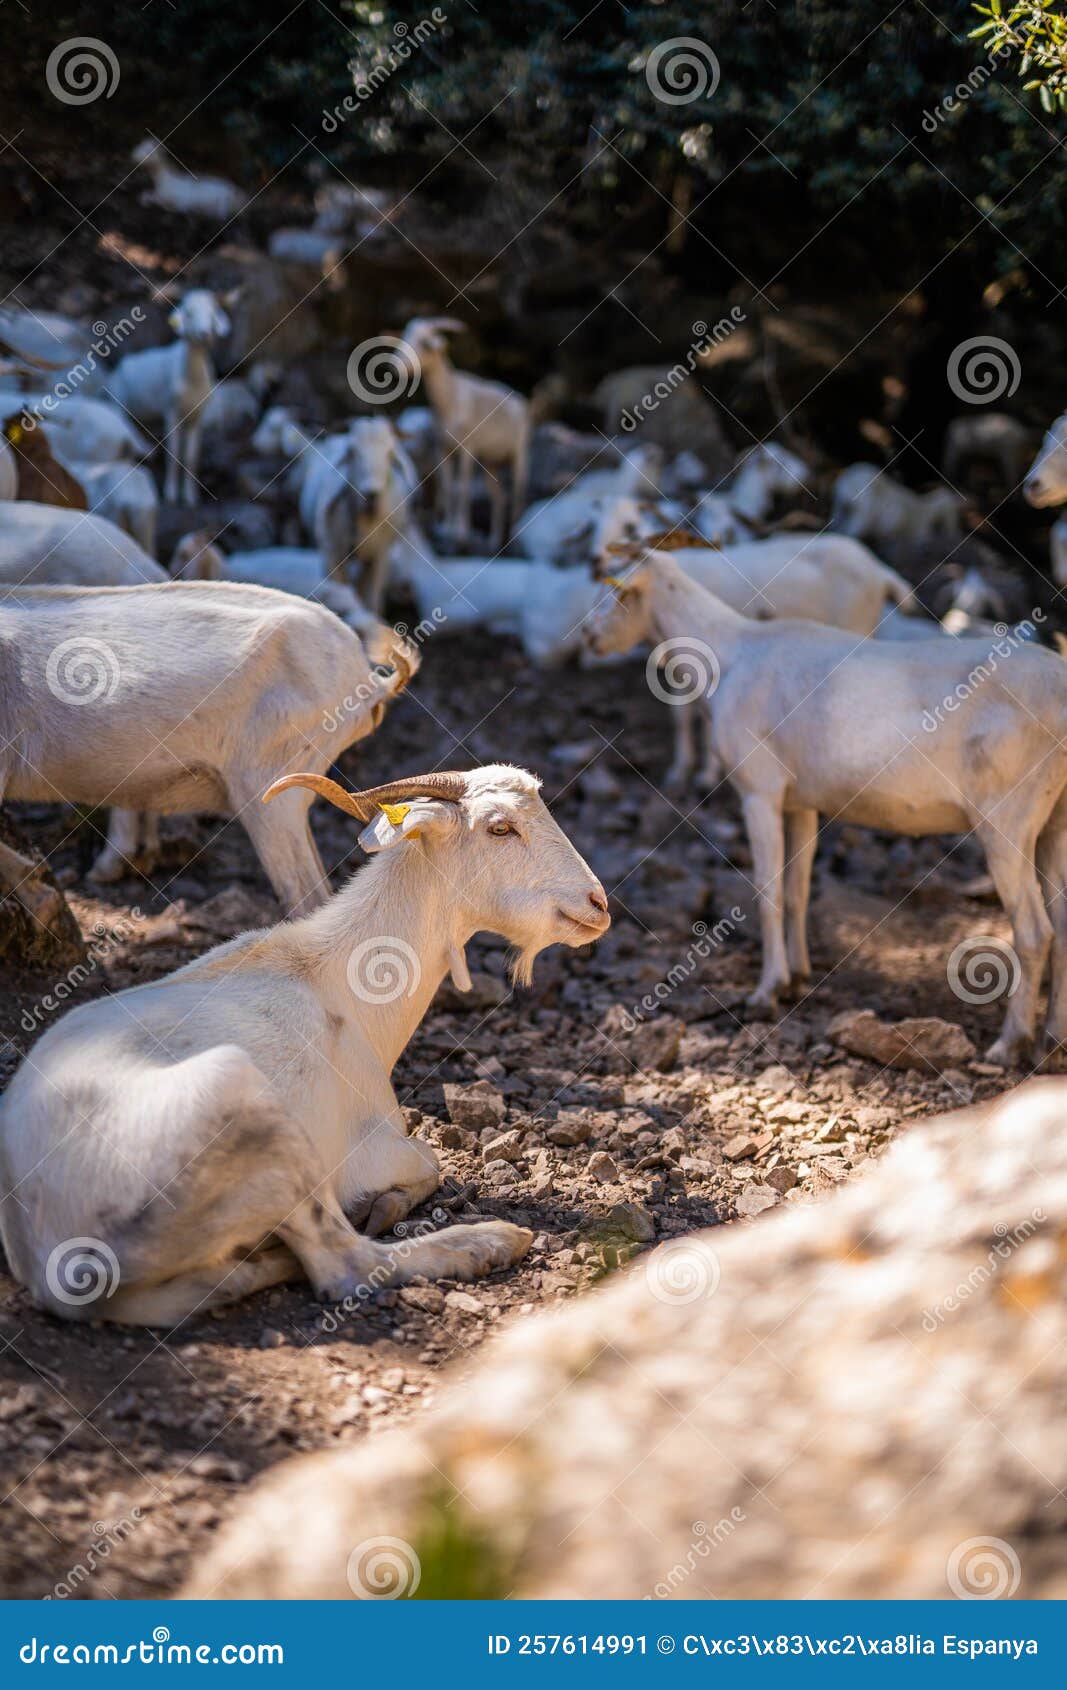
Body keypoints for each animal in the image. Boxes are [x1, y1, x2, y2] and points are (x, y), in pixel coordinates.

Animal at [0, 765, 608, 1327]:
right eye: (500, 827)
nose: (597, 903)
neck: (335, 981)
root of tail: (44, 1251)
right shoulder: (365, 1151)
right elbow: (428, 1161)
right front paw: (383, 1204)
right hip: (248, 1107)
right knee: (345, 1265)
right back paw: (491, 1241)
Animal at [106, 290, 232, 506]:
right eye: (188, 313)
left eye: (212, 314)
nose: (205, 334)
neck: (193, 382)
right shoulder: (170, 411)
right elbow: (174, 453)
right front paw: (171, 494)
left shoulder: (198, 415)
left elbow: (191, 456)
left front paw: (190, 497)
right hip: (119, 401)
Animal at [401, 317, 531, 550]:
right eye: (406, 336)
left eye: (424, 342)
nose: (396, 366)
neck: (450, 397)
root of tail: (520, 402)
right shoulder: (442, 449)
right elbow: (448, 486)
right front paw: (445, 529)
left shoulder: (467, 449)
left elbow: (462, 488)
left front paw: (460, 534)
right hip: (491, 462)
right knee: (500, 497)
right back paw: (493, 541)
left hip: (521, 453)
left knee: (519, 492)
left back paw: (515, 536)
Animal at [587, 550, 1067, 1066]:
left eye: (615, 592)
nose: (589, 637)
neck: (732, 655)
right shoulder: (801, 804)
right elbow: (797, 889)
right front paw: (797, 977)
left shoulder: (760, 790)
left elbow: (768, 891)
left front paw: (767, 991)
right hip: (1056, 818)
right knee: (1062, 923)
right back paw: (1053, 1038)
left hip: (1007, 817)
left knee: (1035, 931)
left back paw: (1008, 1044)